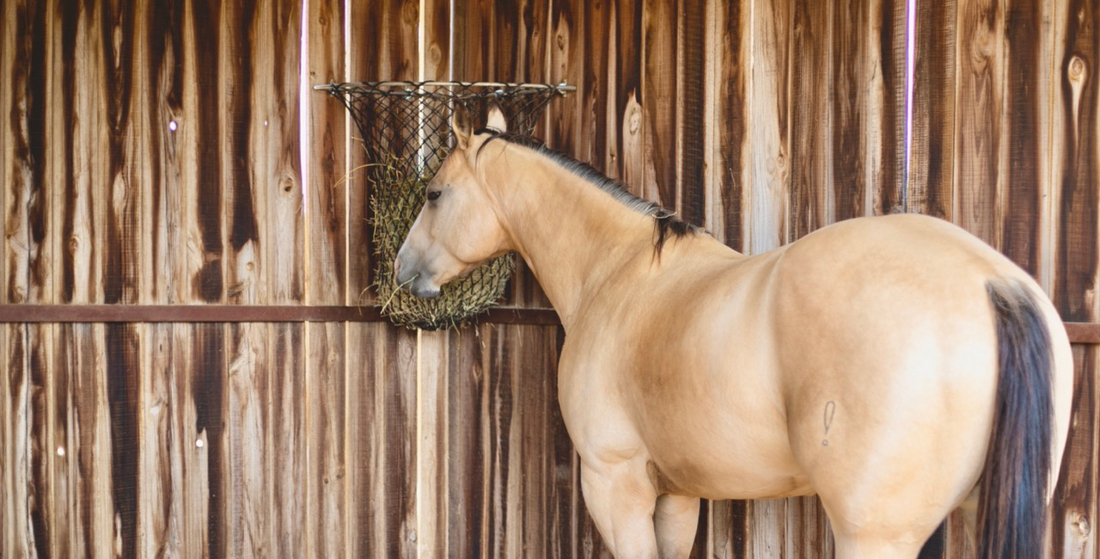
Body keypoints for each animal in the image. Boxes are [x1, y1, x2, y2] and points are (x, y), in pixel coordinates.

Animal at [393, 106, 1074, 558]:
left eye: (434, 194)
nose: (401, 271)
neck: (618, 273)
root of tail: (993, 283)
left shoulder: (615, 486)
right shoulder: (676, 495)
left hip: (874, 534)